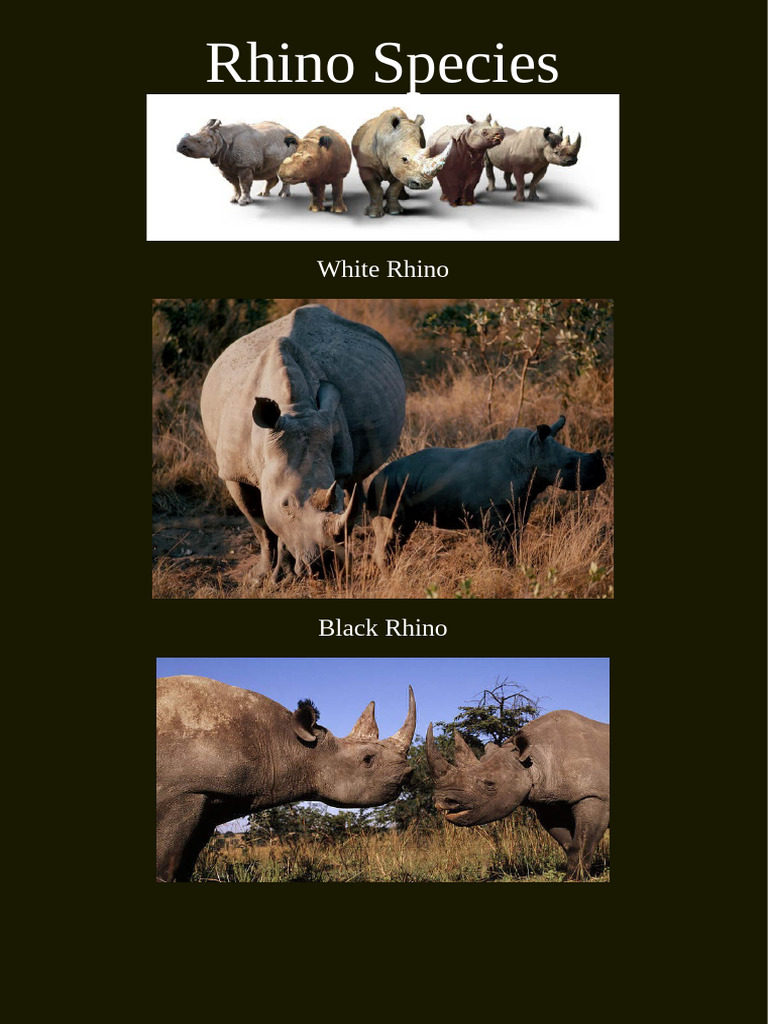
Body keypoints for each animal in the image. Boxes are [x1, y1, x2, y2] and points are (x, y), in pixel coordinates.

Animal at [157, 676, 417, 882]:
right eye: (367, 760)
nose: (408, 772)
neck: (288, 744)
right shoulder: (184, 792)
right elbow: (165, 863)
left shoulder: (211, 798)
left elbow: (185, 864)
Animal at [200, 304, 406, 582]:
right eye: (285, 504)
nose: (324, 566)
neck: (294, 411)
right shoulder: (233, 472)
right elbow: (262, 525)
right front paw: (262, 578)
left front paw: (288, 575)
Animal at [366, 415, 606, 567]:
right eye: (570, 465)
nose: (603, 476)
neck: (529, 456)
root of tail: (373, 479)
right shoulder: (493, 510)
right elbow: (499, 546)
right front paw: (500, 570)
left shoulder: (520, 506)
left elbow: (514, 542)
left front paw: (513, 567)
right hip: (387, 490)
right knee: (391, 533)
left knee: (401, 533)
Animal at [426, 710, 609, 881]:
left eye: (489, 784)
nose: (442, 801)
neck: (534, 760)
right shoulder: (549, 805)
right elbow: (568, 842)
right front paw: (574, 874)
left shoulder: (595, 796)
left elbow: (583, 840)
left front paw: (573, 878)